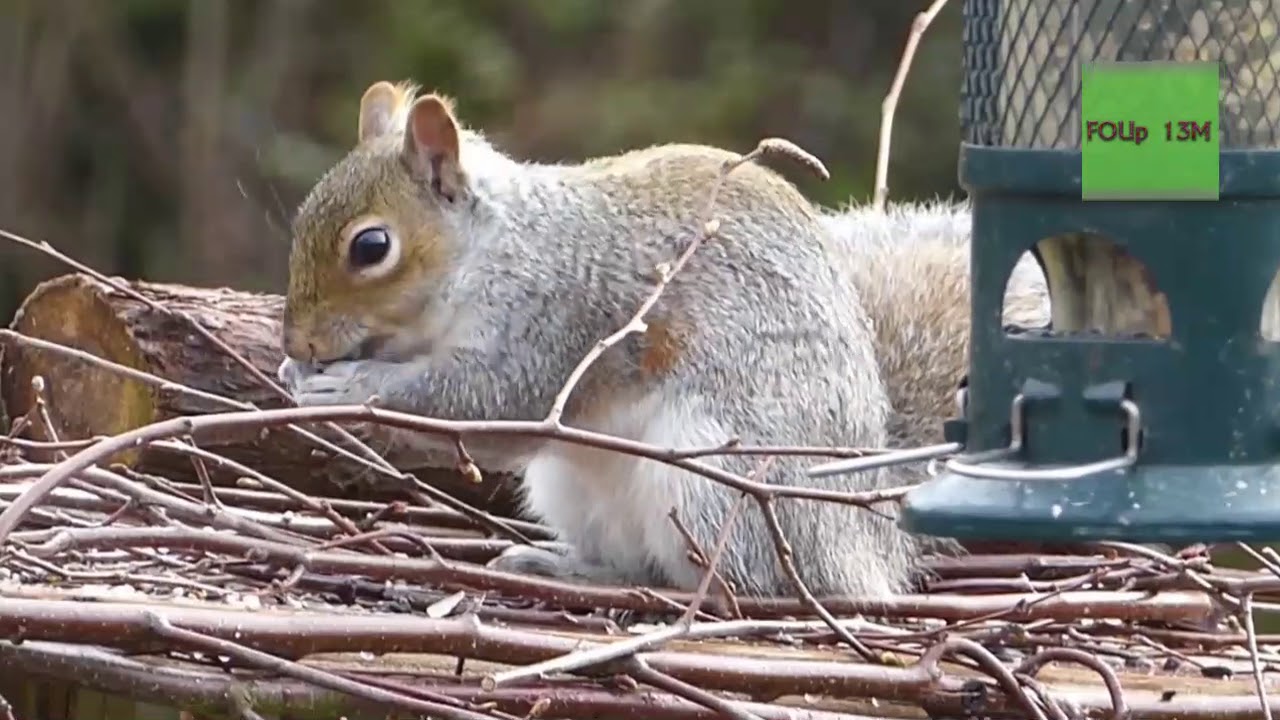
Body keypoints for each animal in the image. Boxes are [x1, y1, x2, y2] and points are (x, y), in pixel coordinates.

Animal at [276, 80, 923, 599]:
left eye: (371, 247)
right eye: (300, 217)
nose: (297, 344)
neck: (491, 250)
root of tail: (862, 558)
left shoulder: (556, 317)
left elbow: (486, 402)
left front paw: (349, 387)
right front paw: (294, 377)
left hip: (712, 481)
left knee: (732, 583)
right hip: (570, 489)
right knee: (638, 563)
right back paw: (565, 565)